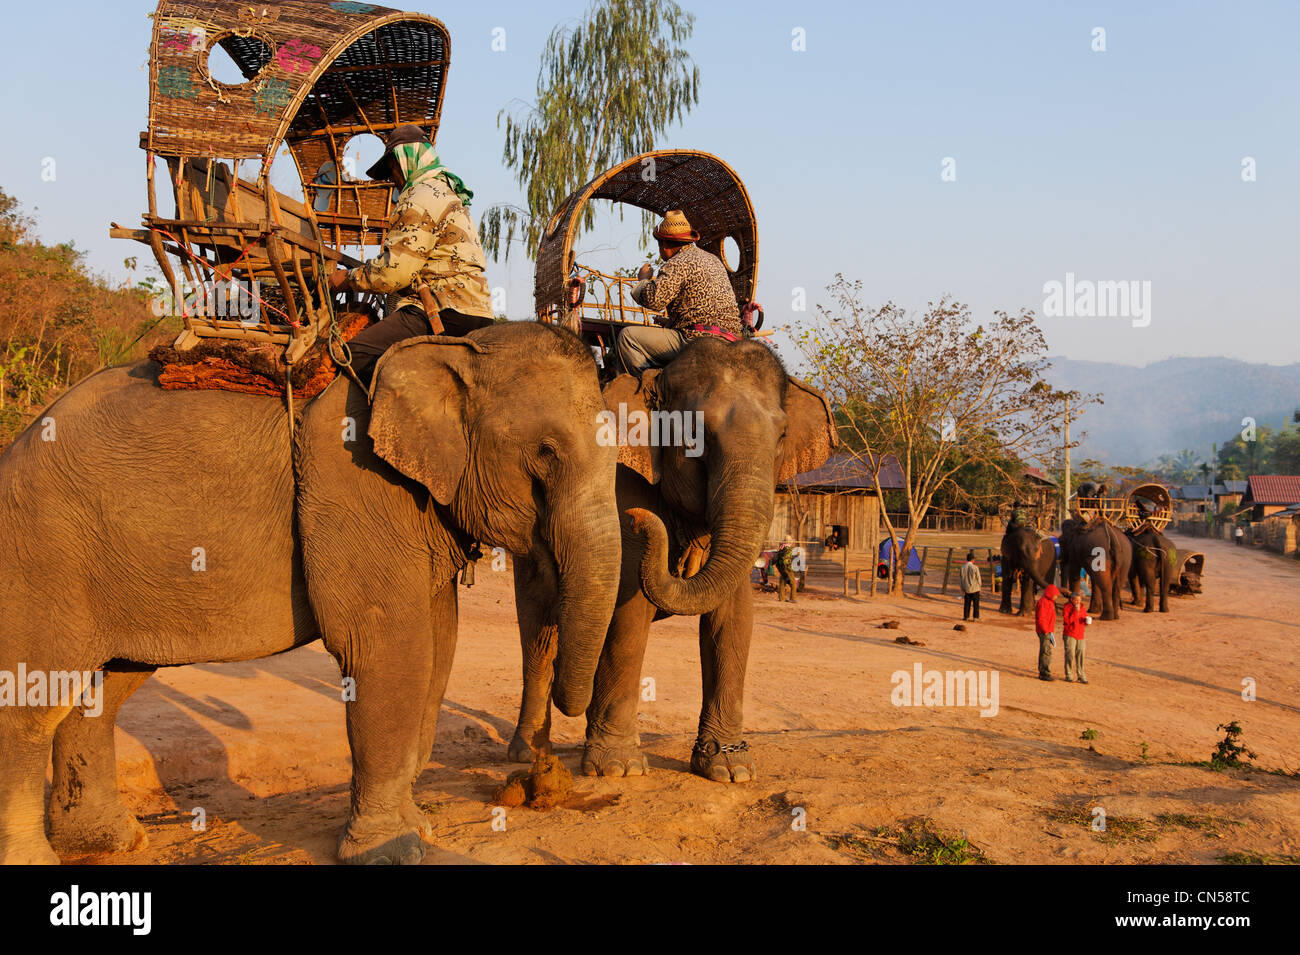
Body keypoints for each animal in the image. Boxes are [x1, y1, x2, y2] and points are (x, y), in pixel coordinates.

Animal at [0, 322, 620, 865]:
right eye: (546, 452)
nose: (545, 764)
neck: (454, 345)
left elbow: (439, 643)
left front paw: (416, 827)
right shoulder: (357, 482)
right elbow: (387, 646)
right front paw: (391, 850)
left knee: (106, 686)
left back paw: (112, 842)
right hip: (42, 553)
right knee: (33, 700)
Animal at [508, 337, 836, 783]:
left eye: (782, 435)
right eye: (696, 434)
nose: (636, 520)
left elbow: (733, 615)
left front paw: (730, 768)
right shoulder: (622, 483)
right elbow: (628, 611)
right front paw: (618, 768)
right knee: (539, 636)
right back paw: (529, 754)